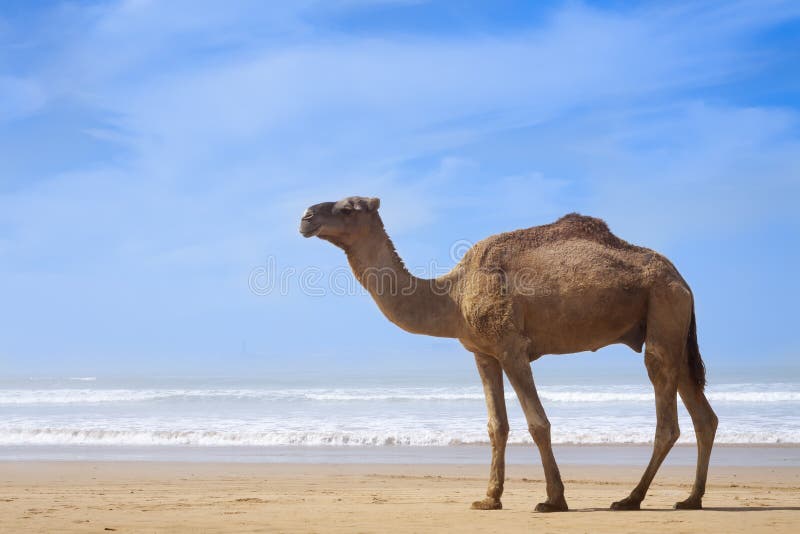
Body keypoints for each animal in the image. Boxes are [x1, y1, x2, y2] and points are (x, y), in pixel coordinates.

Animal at [300, 195, 718, 512]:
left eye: (348, 208)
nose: (306, 217)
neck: (452, 296)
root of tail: (684, 281)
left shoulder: (511, 346)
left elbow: (538, 423)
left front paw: (553, 500)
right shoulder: (483, 354)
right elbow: (496, 426)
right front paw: (489, 498)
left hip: (663, 308)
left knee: (667, 415)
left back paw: (630, 499)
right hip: (671, 326)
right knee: (702, 414)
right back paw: (691, 499)